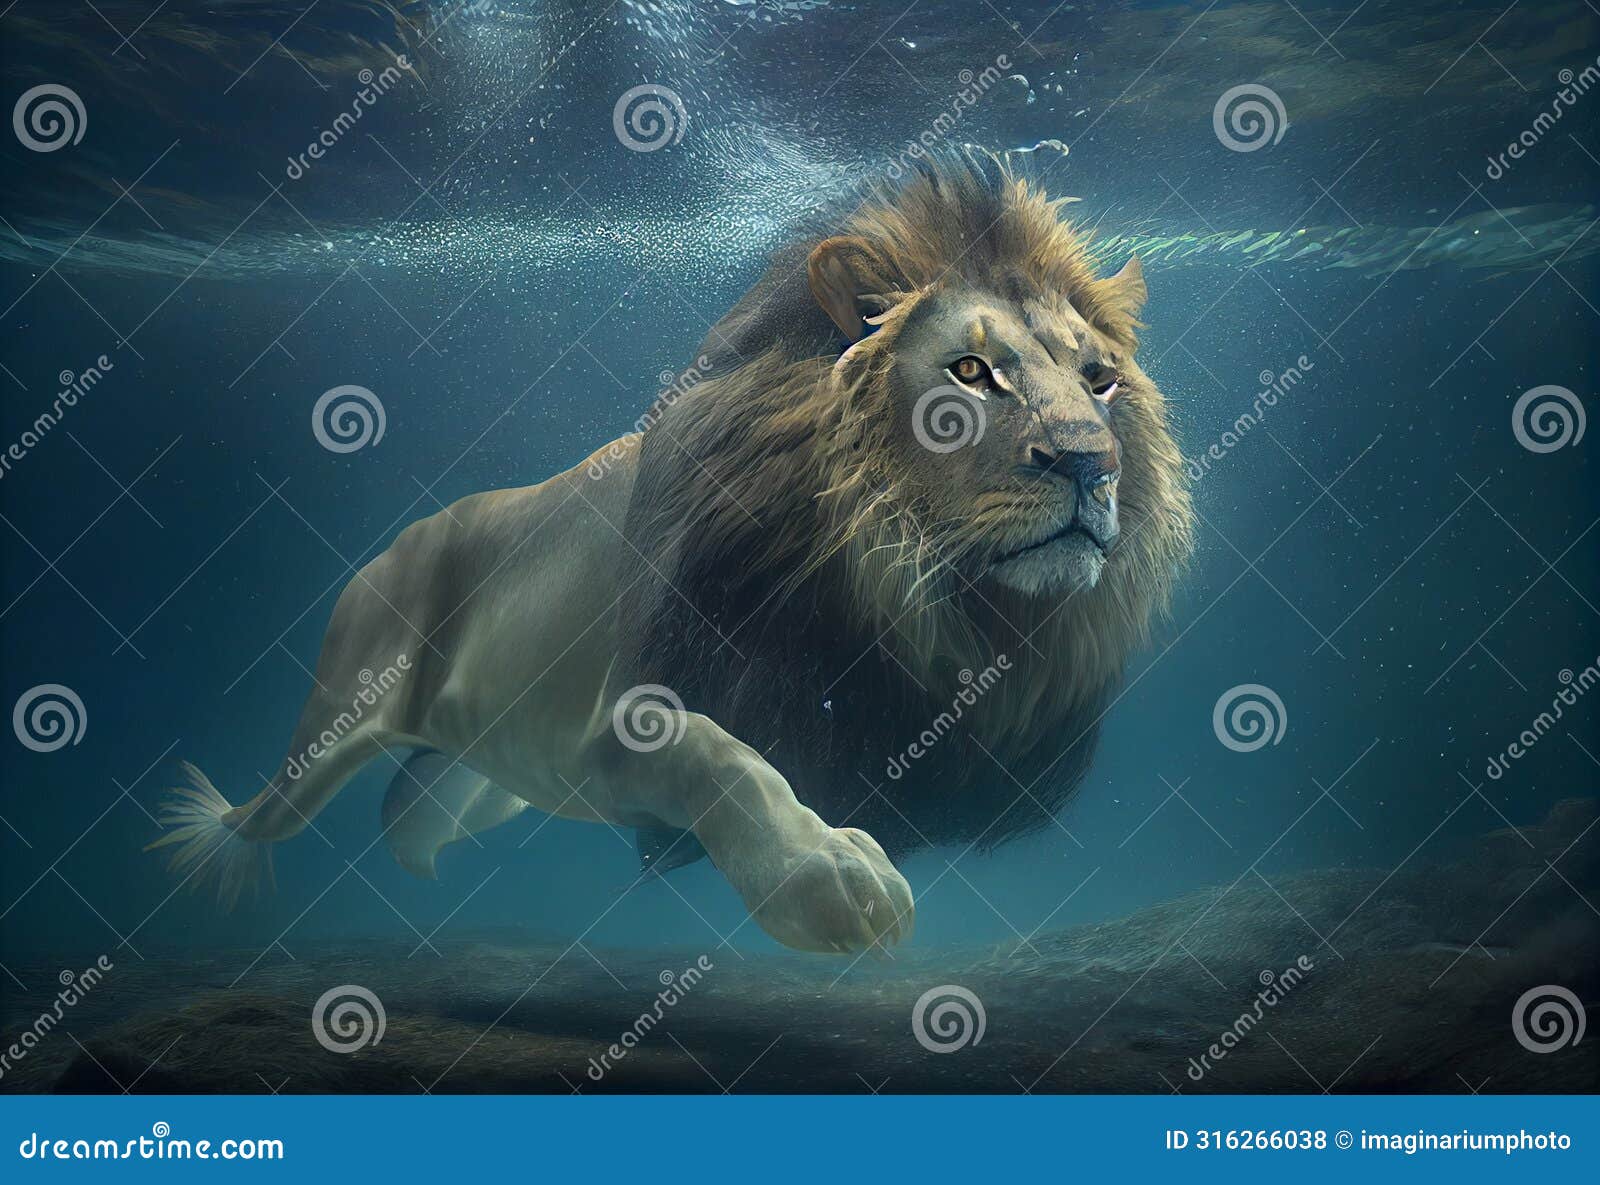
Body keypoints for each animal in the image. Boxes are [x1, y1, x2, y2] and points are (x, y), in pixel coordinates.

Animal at [149, 148, 1193, 954]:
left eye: (1100, 379)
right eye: (972, 371)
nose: (1091, 464)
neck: (905, 591)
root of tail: (404, 537)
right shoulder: (622, 726)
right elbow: (723, 758)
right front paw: (830, 874)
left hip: (483, 769)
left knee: (412, 795)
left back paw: (415, 847)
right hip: (335, 713)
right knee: (268, 809)